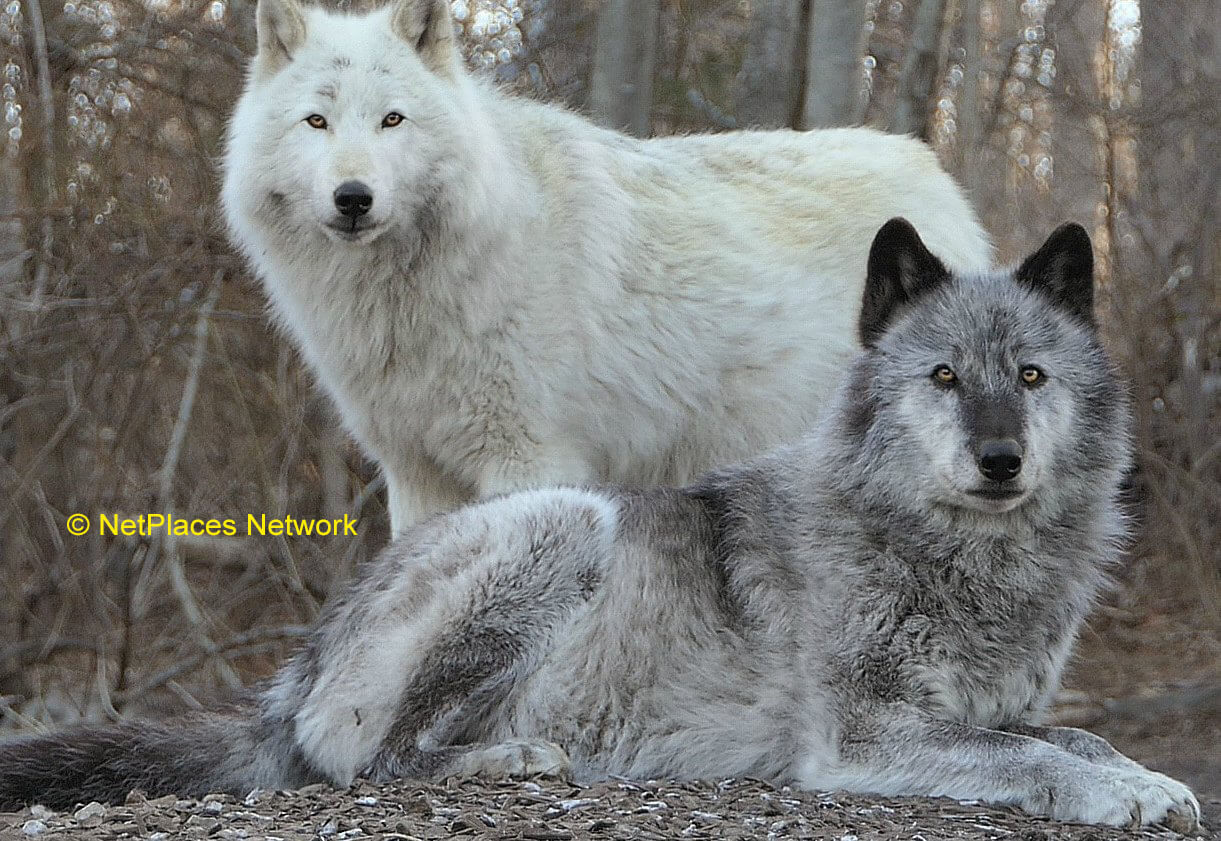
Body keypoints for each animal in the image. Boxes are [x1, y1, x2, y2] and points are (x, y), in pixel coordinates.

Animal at [0, 221, 1201, 831]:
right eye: (944, 376)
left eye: (1030, 376)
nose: (1000, 460)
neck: (951, 554)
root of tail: (300, 663)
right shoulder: (860, 735)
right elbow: (1031, 753)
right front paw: (1130, 792)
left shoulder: (996, 704)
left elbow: (1072, 733)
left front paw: (1139, 769)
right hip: (563, 518)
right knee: (362, 763)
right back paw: (512, 758)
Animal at [220, 0, 993, 535]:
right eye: (317, 122)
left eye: (391, 120)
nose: (353, 198)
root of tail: (934, 173)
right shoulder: (413, 472)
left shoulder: (529, 460)